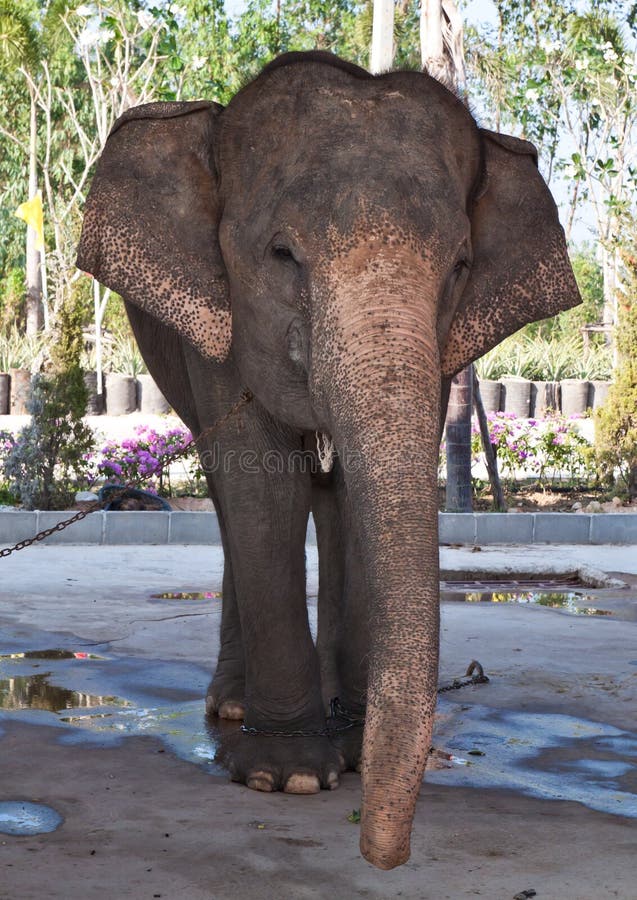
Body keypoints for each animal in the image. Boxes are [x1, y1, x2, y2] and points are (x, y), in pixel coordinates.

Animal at [77, 50, 581, 870]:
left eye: (460, 265)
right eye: (281, 255)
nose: (381, 855)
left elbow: (354, 495)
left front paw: (349, 748)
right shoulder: (221, 326)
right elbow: (264, 489)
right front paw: (289, 777)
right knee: (233, 504)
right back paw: (234, 707)